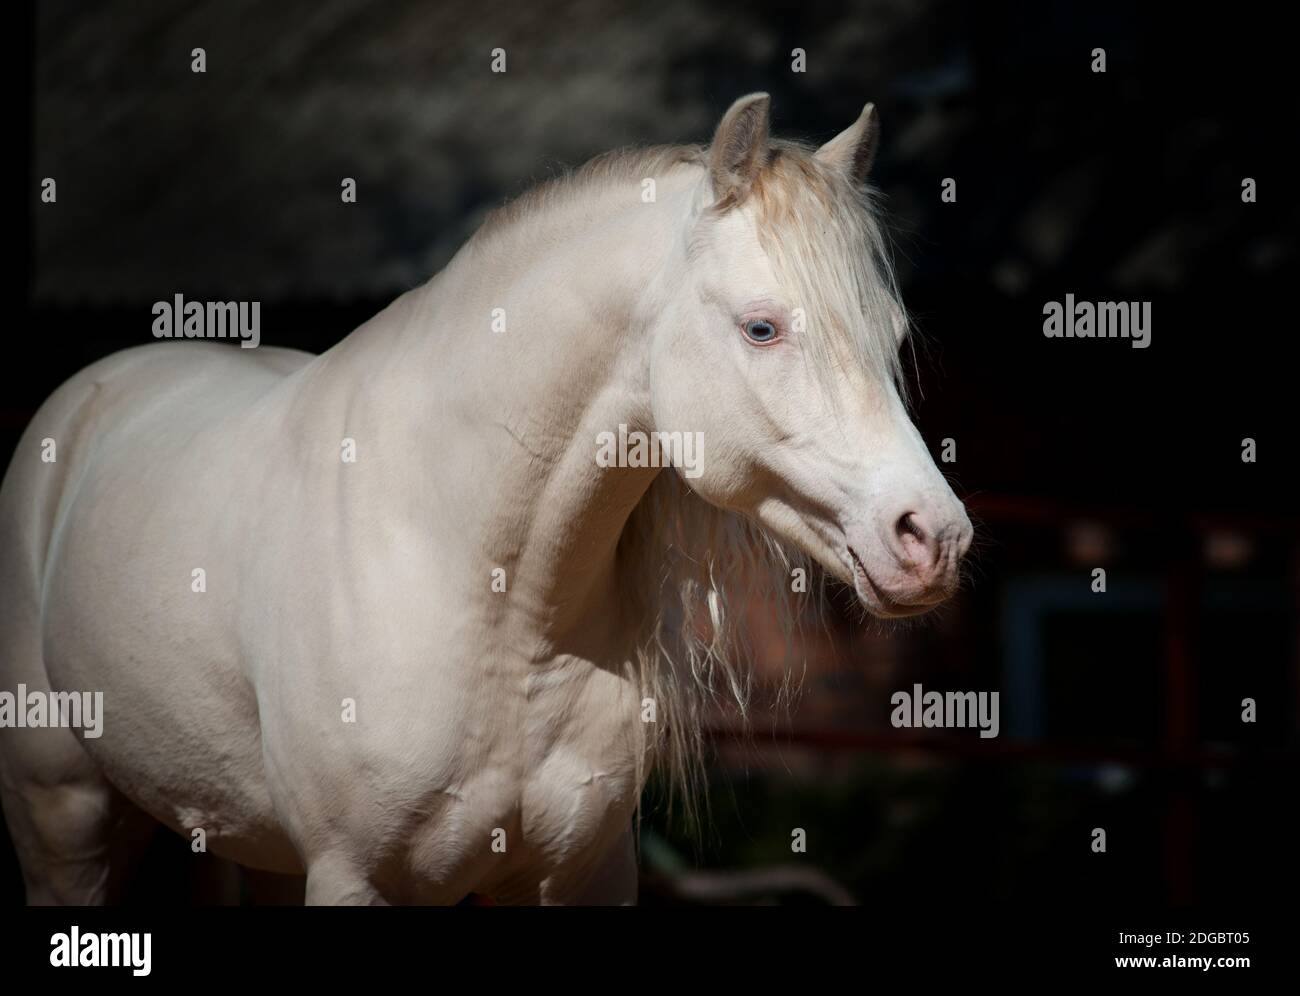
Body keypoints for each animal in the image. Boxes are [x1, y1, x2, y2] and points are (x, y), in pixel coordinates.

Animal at [0, 93, 972, 905]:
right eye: (762, 327)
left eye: (892, 334)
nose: (934, 537)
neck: (487, 591)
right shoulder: (352, 876)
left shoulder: (581, 872)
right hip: (65, 814)